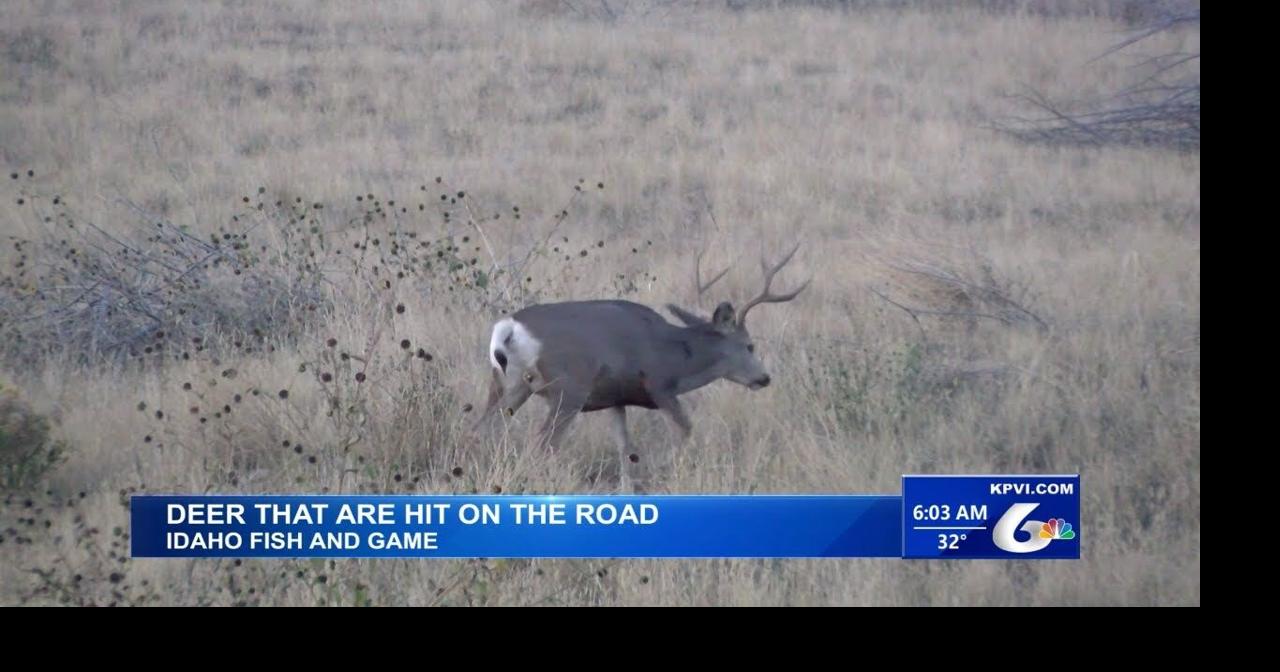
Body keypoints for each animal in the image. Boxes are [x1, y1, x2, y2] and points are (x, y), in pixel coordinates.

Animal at [468, 242, 810, 488]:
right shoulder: (659, 386)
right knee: (543, 443)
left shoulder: (615, 398)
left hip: (506, 384)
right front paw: (670, 474)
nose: (764, 378)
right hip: (568, 389)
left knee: (481, 428)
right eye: (750, 345)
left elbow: (626, 449)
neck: (675, 355)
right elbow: (686, 430)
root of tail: (510, 327)